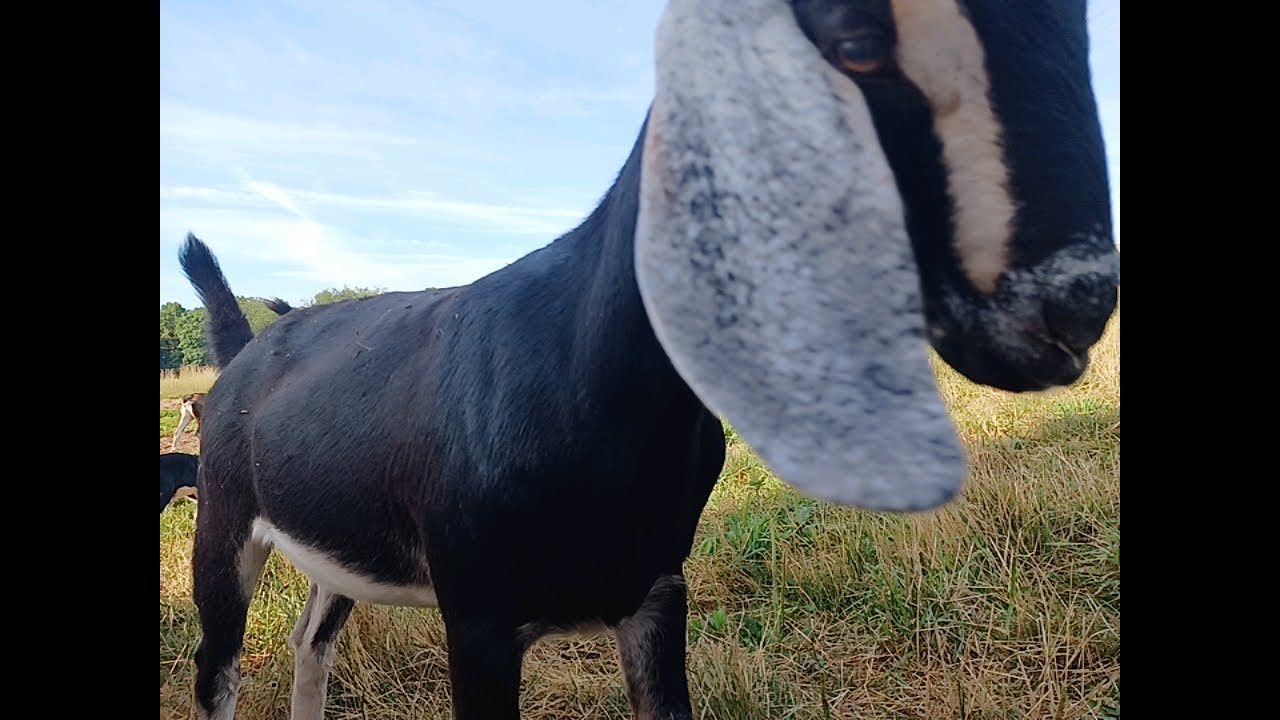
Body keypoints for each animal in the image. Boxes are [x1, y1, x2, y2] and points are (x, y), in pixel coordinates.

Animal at [179, 1, 1119, 718]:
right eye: (856, 40)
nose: (1077, 299)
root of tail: (247, 354)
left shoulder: (657, 591)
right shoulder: (478, 621)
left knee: (309, 643)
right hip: (224, 519)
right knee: (218, 668)